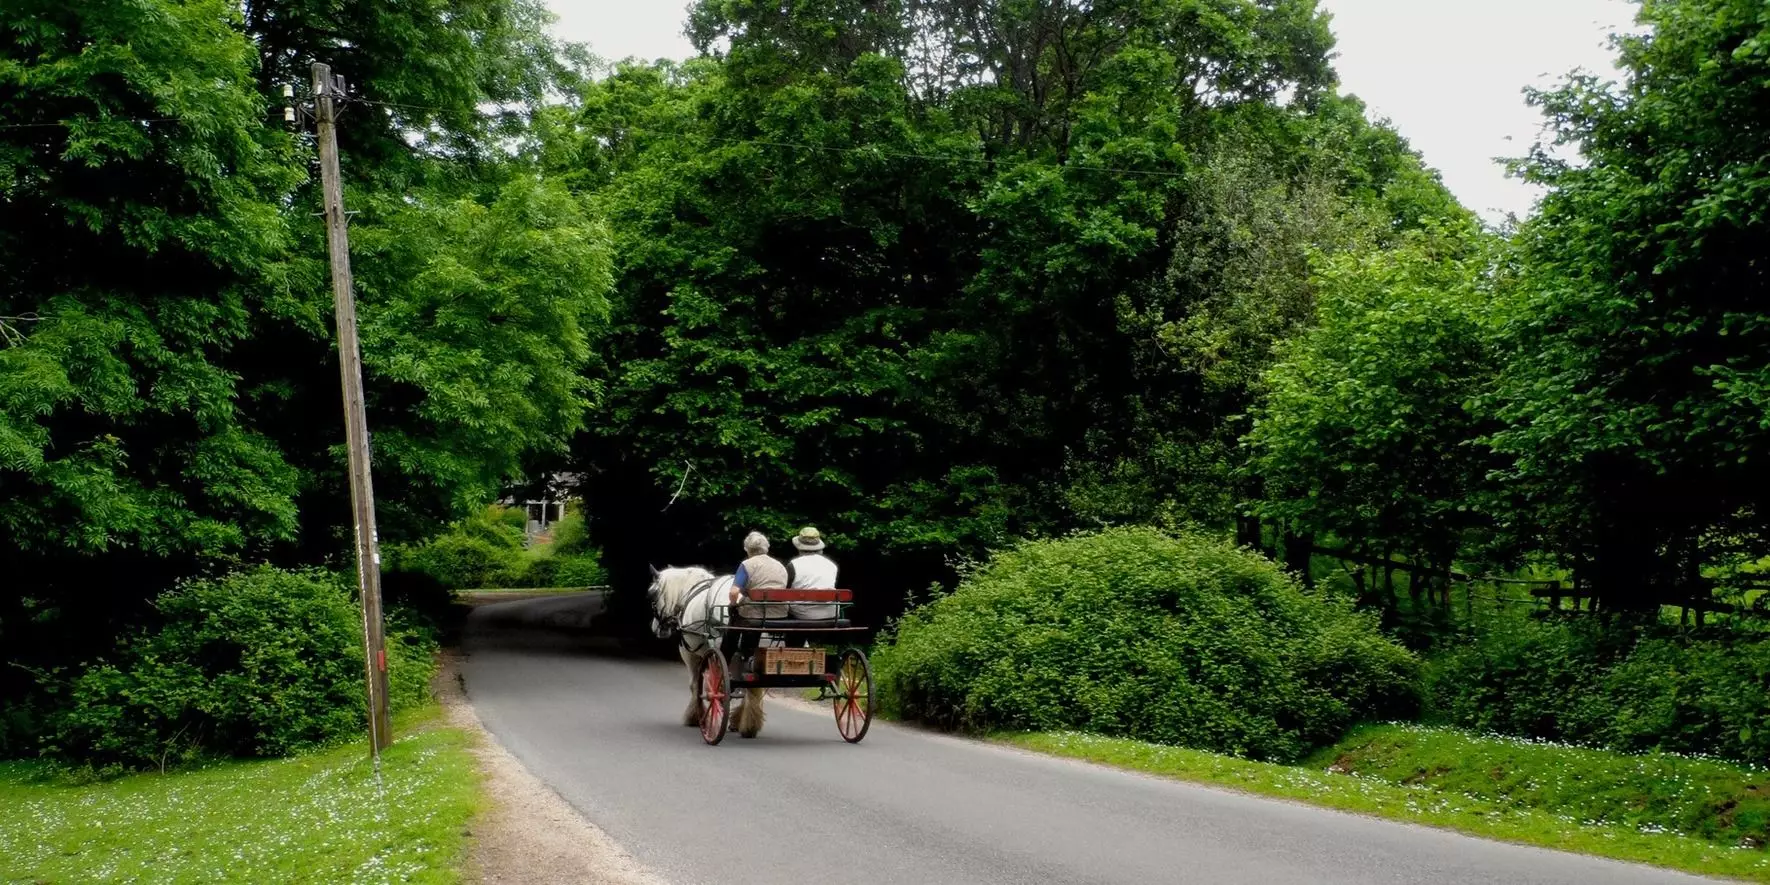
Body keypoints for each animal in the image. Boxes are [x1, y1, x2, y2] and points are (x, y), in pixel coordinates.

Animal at [647, 566, 764, 739]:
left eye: (652, 595)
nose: (656, 627)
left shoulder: (691, 654)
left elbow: (696, 684)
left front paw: (695, 716)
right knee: (752, 684)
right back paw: (747, 724)